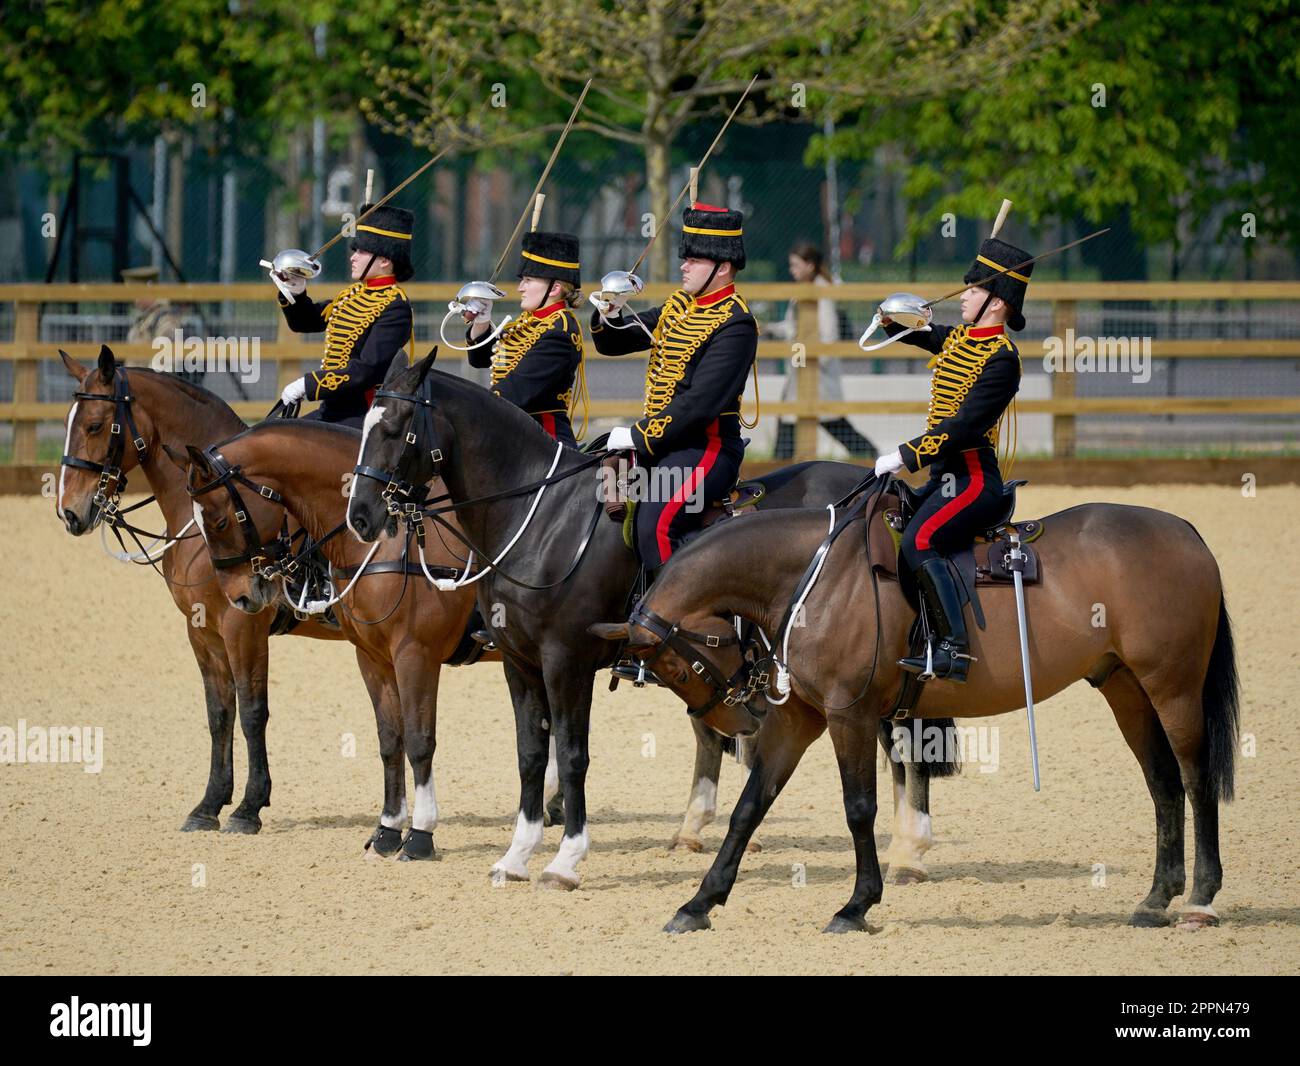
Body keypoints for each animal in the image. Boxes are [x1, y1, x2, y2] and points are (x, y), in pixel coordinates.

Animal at [56, 346, 342, 834]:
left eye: (94, 425)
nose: (69, 512)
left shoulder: (243, 626)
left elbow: (252, 711)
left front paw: (249, 807)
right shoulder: (202, 630)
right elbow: (219, 712)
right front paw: (209, 804)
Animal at [171, 419, 491, 859]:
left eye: (219, 521)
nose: (241, 597)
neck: (384, 541)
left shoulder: (416, 655)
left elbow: (419, 739)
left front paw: (420, 835)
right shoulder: (372, 657)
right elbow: (390, 739)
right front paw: (387, 831)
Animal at [345, 352, 957, 889]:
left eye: (396, 427)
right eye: (366, 426)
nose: (361, 515)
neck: (542, 519)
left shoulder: (565, 661)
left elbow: (571, 756)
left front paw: (565, 860)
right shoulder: (519, 663)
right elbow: (530, 755)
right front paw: (516, 856)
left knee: (902, 739)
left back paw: (911, 852)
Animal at [591, 483, 1239, 933]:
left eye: (679, 665)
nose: (736, 721)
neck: (814, 576)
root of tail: (1183, 529)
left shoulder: (848, 715)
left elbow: (859, 809)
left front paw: (857, 905)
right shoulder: (799, 718)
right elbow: (750, 808)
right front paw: (700, 902)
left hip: (1173, 689)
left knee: (1195, 779)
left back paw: (1201, 898)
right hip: (1125, 689)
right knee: (1162, 784)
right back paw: (1156, 899)